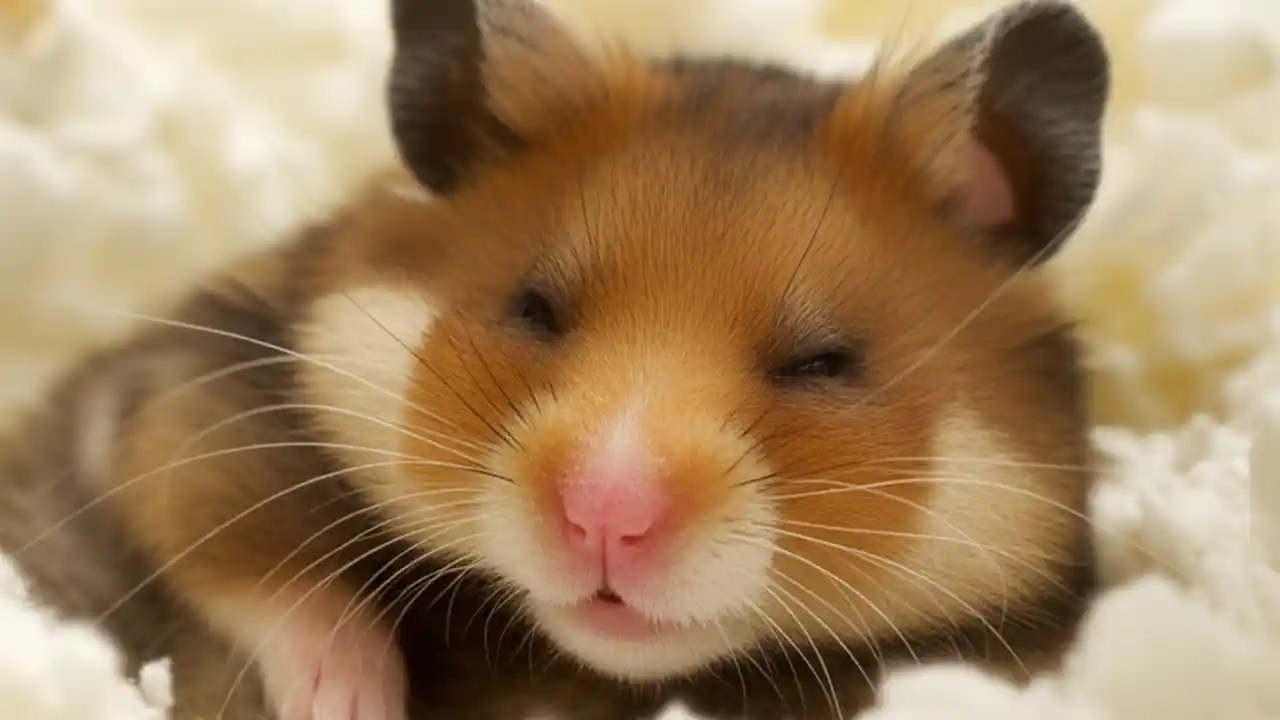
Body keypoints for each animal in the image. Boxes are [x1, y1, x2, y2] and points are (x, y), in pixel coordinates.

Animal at [0, 0, 1109, 718]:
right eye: (534, 309)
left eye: (823, 362)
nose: (604, 517)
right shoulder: (188, 393)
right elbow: (245, 553)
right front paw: (352, 702)